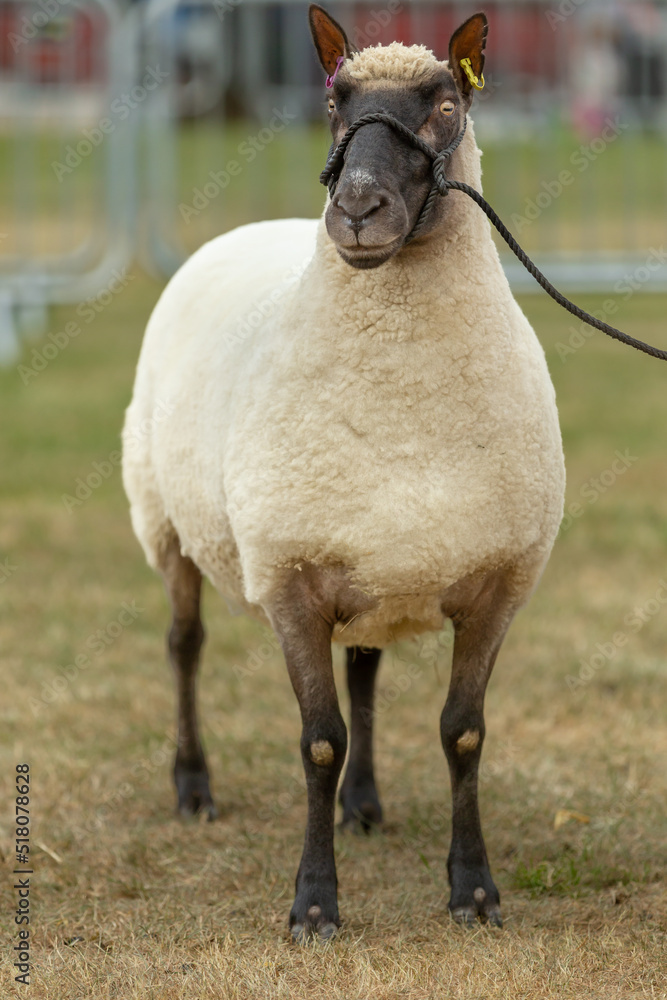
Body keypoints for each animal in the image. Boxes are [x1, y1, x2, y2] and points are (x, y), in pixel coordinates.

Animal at [122, 5, 565, 940]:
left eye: (444, 103)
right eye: (333, 101)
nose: (355, 209)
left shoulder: (499, 584)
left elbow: (462, 732)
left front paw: (473, 891)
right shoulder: (288, 577)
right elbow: (318, 740)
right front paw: (314, 904)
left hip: (375, 563)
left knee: (362, 667)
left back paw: (363, 805)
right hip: (166, 521)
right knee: (184, 644)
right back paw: (193, 786)